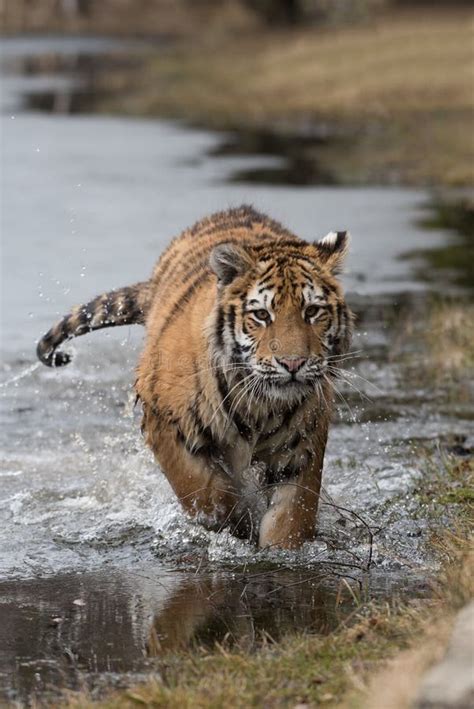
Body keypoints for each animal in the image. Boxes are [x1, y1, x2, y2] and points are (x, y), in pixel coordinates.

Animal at [37, 206, 353, 549]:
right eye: (261, 315)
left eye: (312, 311)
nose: (293, 363)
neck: (260, 404)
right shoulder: (163, 420)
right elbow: (203, 489)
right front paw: (234, 521)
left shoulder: (302, 445)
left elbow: (291, 518)